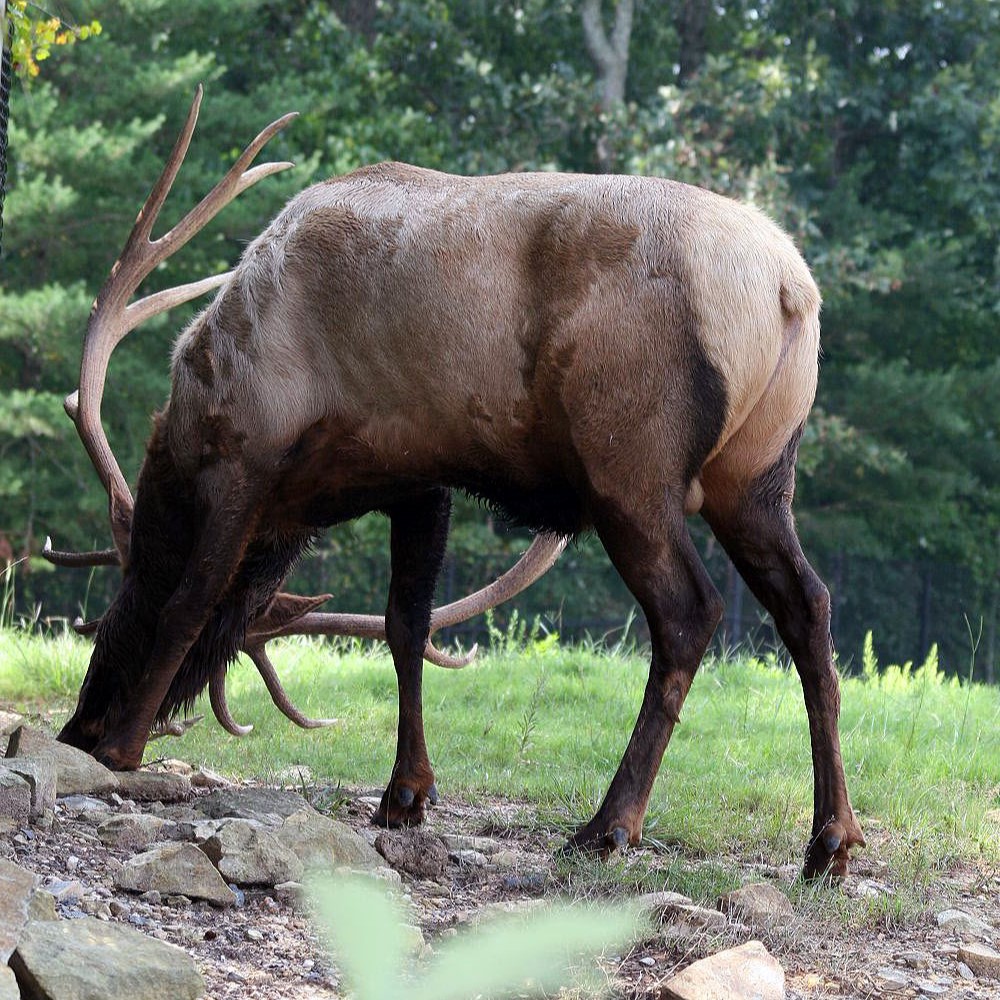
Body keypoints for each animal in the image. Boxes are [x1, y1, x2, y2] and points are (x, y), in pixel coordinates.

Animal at [54, 88, 863, 877]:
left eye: (125, 601)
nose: (79, 724)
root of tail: (789, 290)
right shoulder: (417, 477)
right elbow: (404, 624)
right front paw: (405, 792)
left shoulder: (248, 454)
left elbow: (193, 597)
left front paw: (125, 745)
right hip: (755, 478)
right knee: (810, 605)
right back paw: (830, 839)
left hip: (630, 464)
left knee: (690, 614)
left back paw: (608, 826)